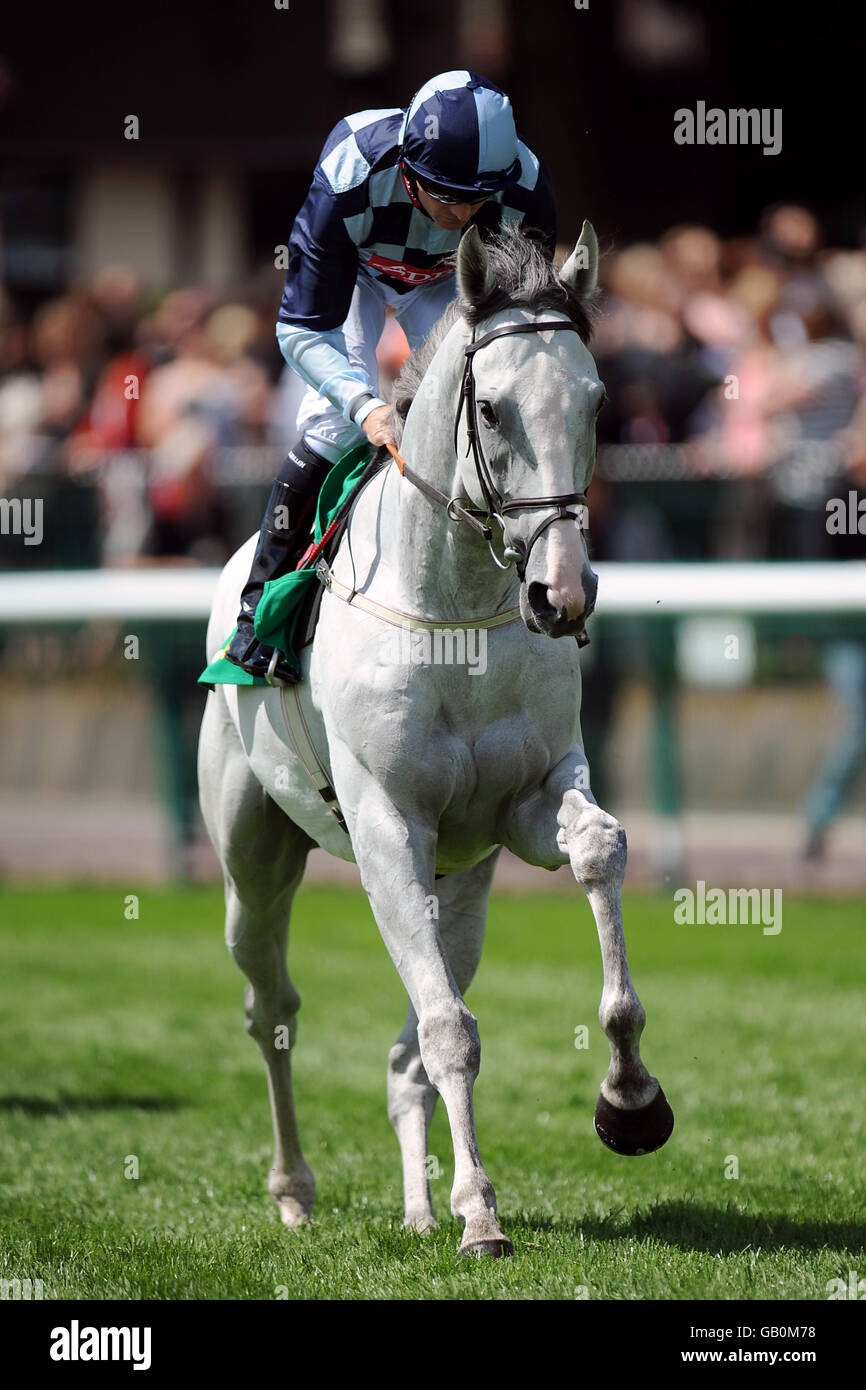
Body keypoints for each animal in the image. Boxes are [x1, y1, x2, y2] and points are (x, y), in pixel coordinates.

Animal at [197, 221, 674, 1259]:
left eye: (598, 402)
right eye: (490, 409)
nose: (561, 593)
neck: (453, 614)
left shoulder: (523, 801)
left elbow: (599, 850)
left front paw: (629, 1100)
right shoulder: (388, 829)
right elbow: (452, 1030)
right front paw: (483, 1217)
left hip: (465, 885)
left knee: (404, 1046)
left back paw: (422, 1205)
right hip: (254, 858)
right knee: (272, 1012)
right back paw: (295, 1189)